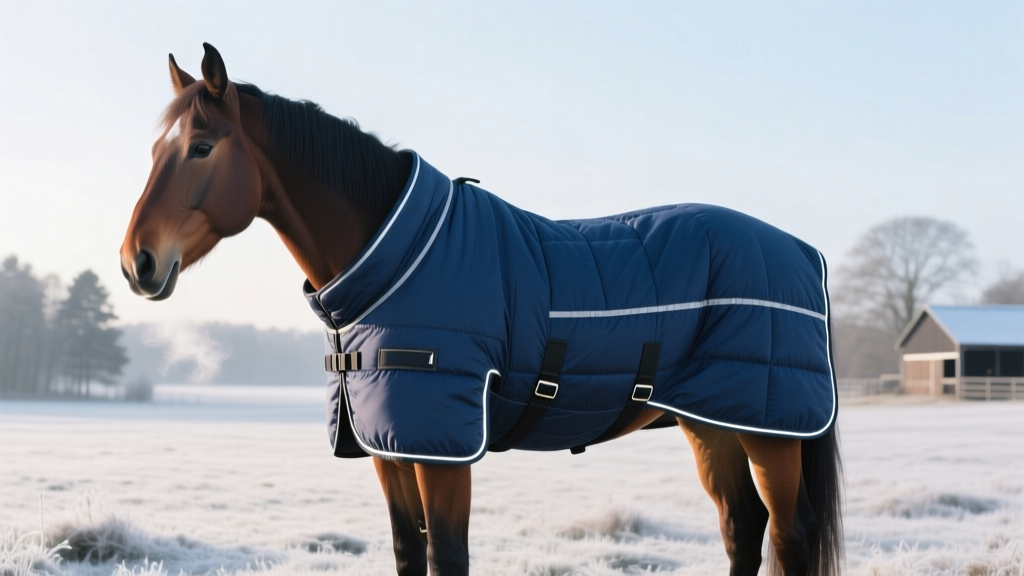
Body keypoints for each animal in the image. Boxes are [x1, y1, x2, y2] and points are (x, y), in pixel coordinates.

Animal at [120, 43, 843, 576]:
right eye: (154, 149)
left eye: (202, 147)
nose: (137, 262)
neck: (399, 258)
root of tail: (800, 251)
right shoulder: (388, 449)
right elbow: (409, 554)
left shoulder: (443, 451)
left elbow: (447, 556)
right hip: (711, 424)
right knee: (743, 527)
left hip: (772, 434)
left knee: (790, 535)